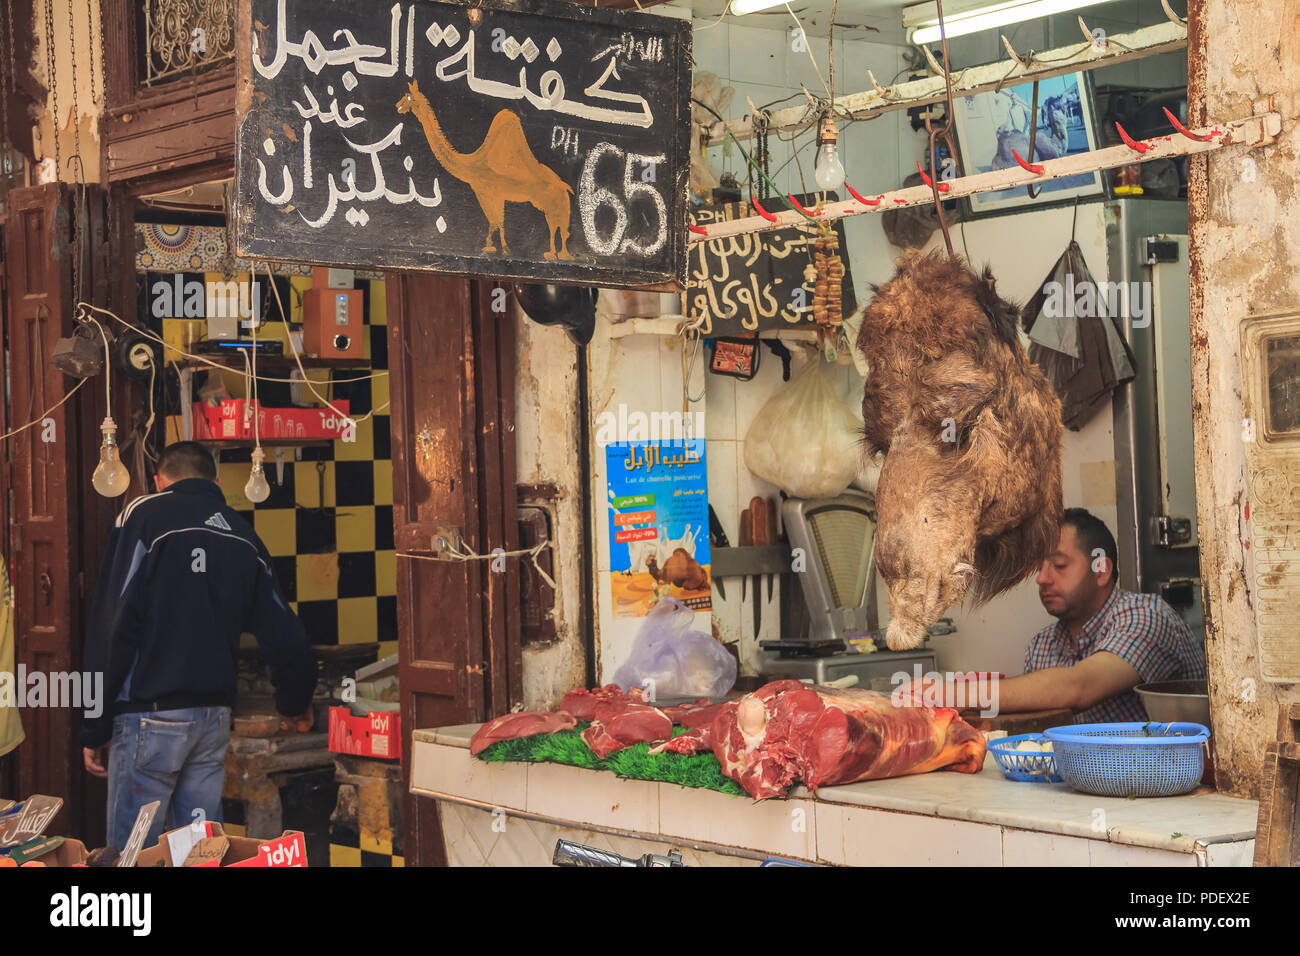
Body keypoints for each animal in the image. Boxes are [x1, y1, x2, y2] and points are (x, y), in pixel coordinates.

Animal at [396, 80, 573, 260]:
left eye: (409, 97)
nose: (398, 106)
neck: (470, 164)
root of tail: (565, 187)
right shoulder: (489, 193)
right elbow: (495, 221)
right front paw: (493, 246)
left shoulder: (488, 192)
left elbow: (496, 220)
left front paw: (502, 248)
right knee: (558, 227)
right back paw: (554, 253)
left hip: (556, 203)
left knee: (559, 227)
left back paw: (561, 255)